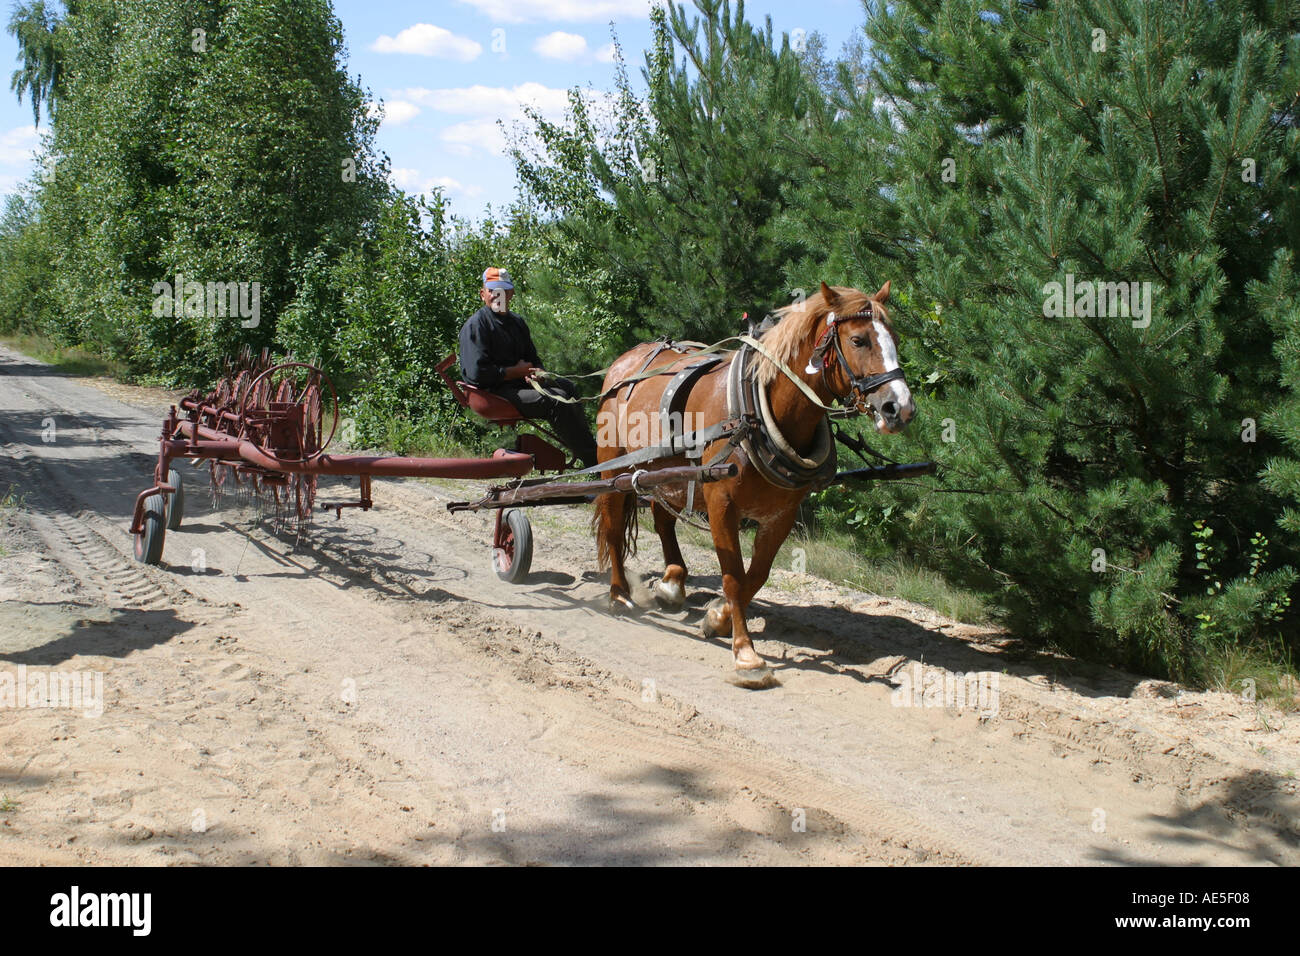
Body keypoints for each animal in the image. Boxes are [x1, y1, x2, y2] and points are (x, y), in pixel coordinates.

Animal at [592, 281, 916, 682]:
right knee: (612, 524)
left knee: (663, 519)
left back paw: (672, 583)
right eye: (858, 340)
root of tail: (625, 361)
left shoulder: (781, 515)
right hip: (612, 468)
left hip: (663, 472)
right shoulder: (721, 505)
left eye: (895, 339)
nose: (900, 408)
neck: (756, 414)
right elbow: (733, 576)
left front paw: (717, 618)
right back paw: (619, 594)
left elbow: (756, 576)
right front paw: (745, 654)